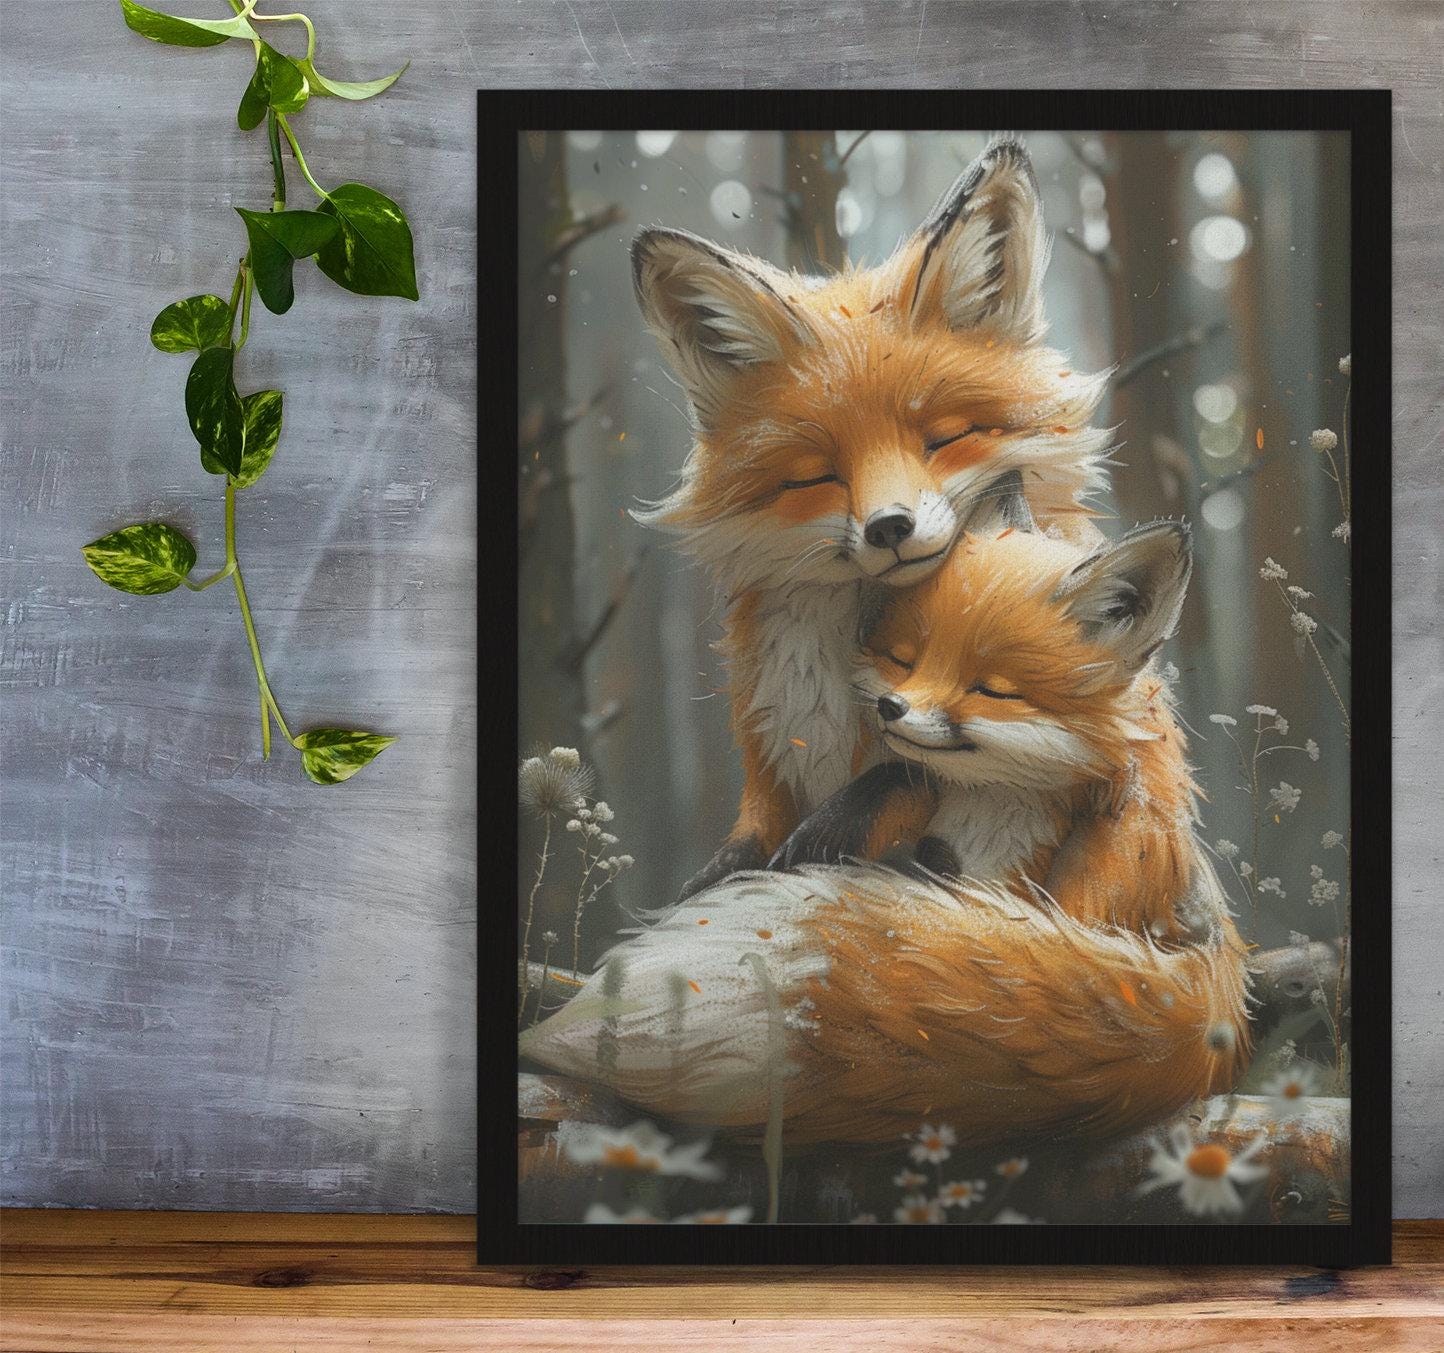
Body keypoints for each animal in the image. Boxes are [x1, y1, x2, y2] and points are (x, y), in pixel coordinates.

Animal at [521, 512, 1250, 1147]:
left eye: (992, 689)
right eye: (905, 658)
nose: (892, 708)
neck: (988, 807)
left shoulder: (1045, 871)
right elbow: (879, 794)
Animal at [631, 136, 1114, 898]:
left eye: (944, 437)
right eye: (817, 475)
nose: (888, 528)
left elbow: (901, 780)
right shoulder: (767, 761)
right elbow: (743, 844)